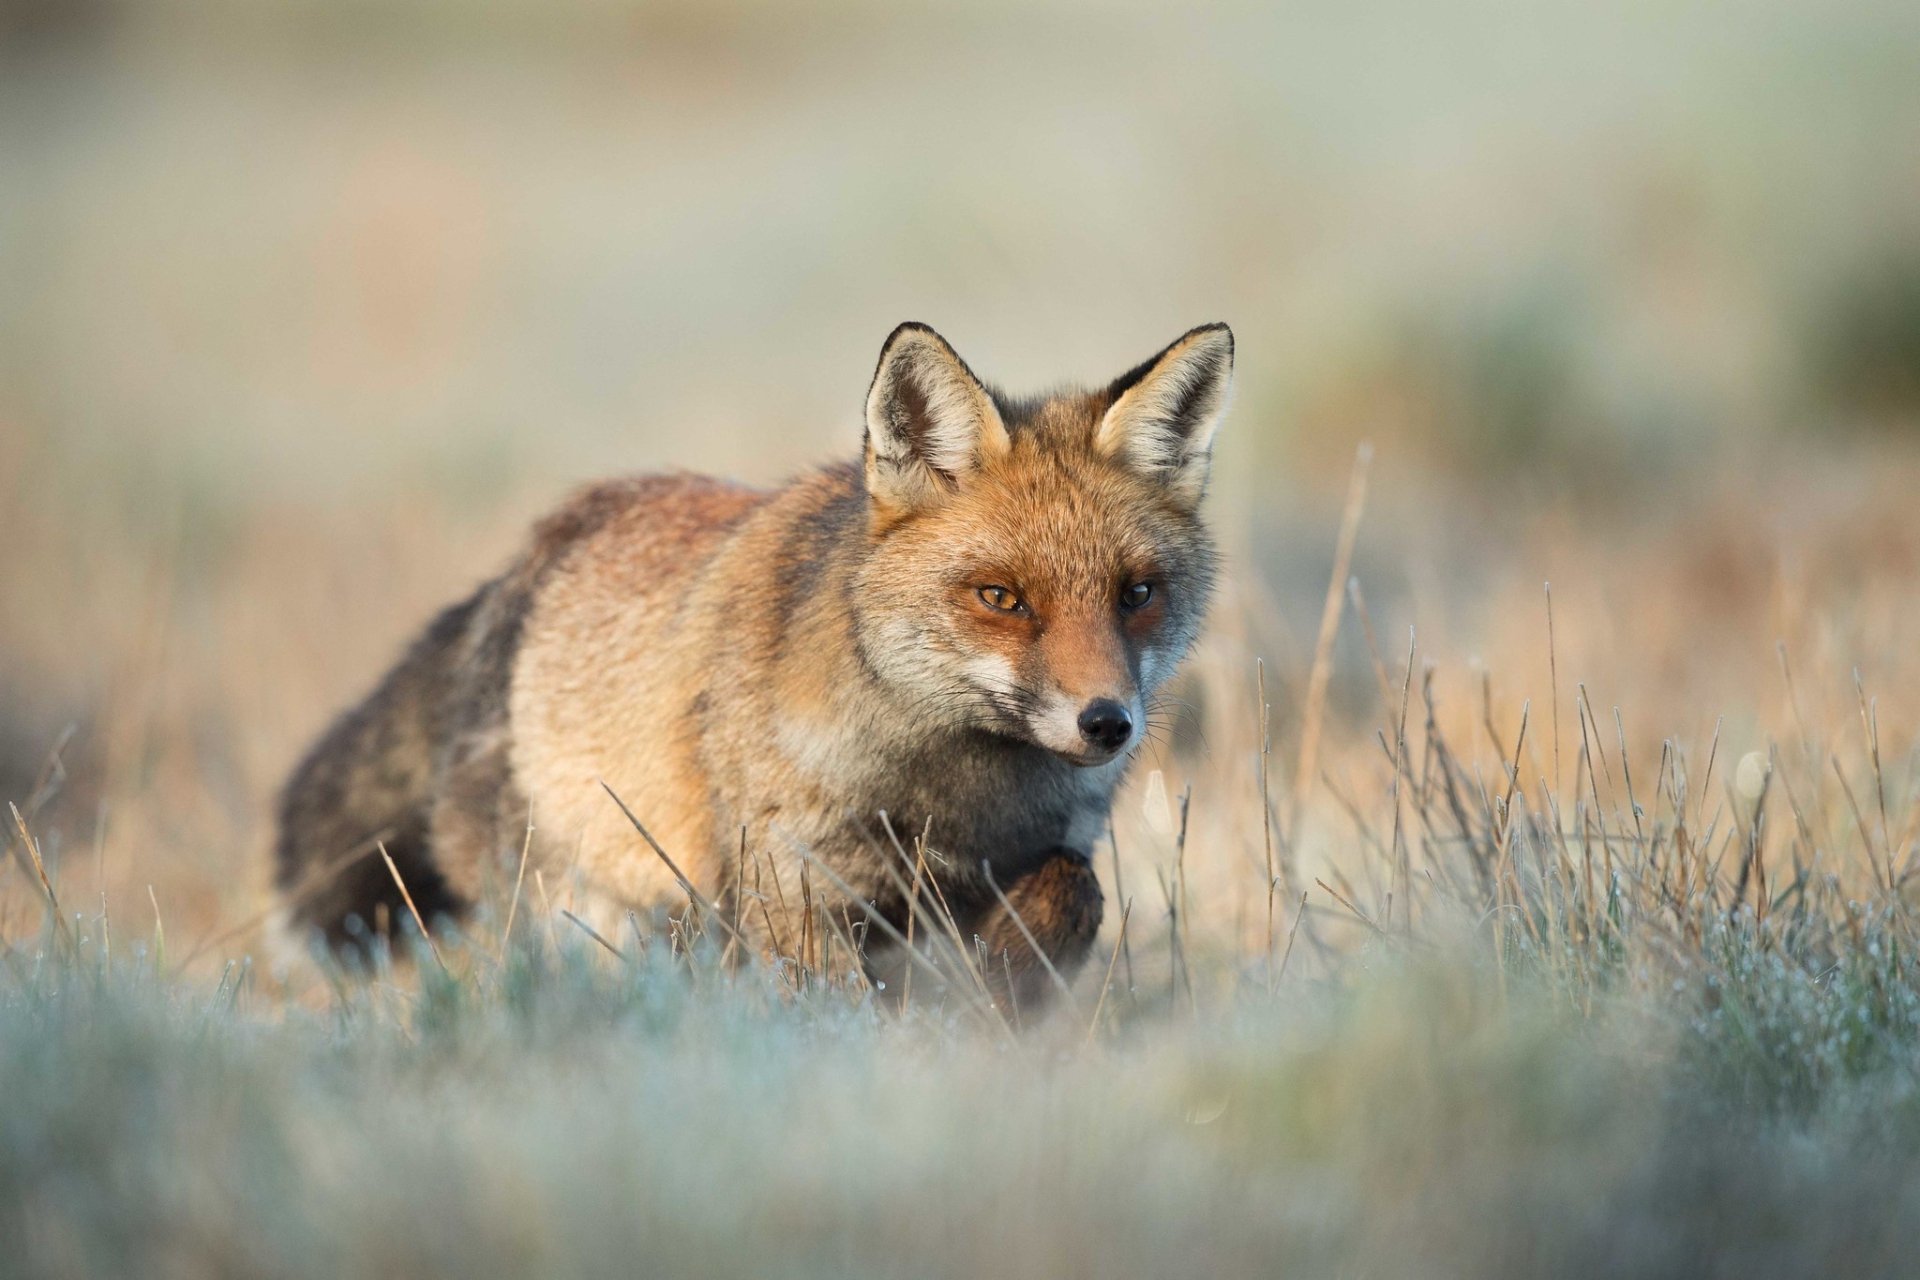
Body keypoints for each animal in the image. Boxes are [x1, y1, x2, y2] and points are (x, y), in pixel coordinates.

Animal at [274, 321, 1233, 1012]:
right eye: (1001, 597)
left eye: (1136, 594)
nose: (1106, 723)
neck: (951, 794)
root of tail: (533, 553)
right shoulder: (792, 888)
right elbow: (834, 1011)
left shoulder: (1028, 857)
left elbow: (1072, 897)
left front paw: (1002, 985)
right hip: (576, 907)